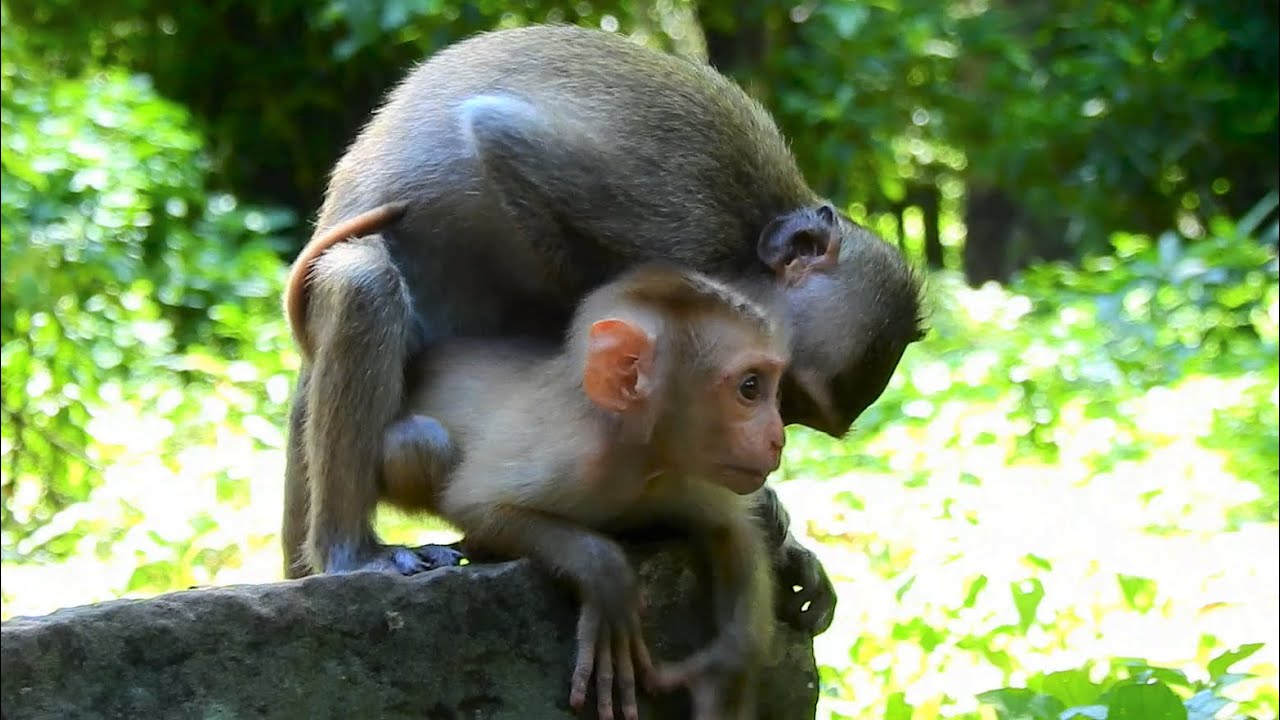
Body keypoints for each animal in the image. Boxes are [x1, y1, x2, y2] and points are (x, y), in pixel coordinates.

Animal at [282, 24, 926, 639]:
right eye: (769, 390)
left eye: (790, 407)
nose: (772, 440)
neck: (747, 244)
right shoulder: (668, 213)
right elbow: (500, 136)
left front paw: (778, 533)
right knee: (365, 284)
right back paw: (350, 553)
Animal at [370, 264, 790, 720]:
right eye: (750, 388)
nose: (778, 439)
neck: (639, 457)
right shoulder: (572, 459)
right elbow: (475, 503)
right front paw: (604, 575)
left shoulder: (687, 474)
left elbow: (732, 530)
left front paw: (727, 666)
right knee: (416, 444)